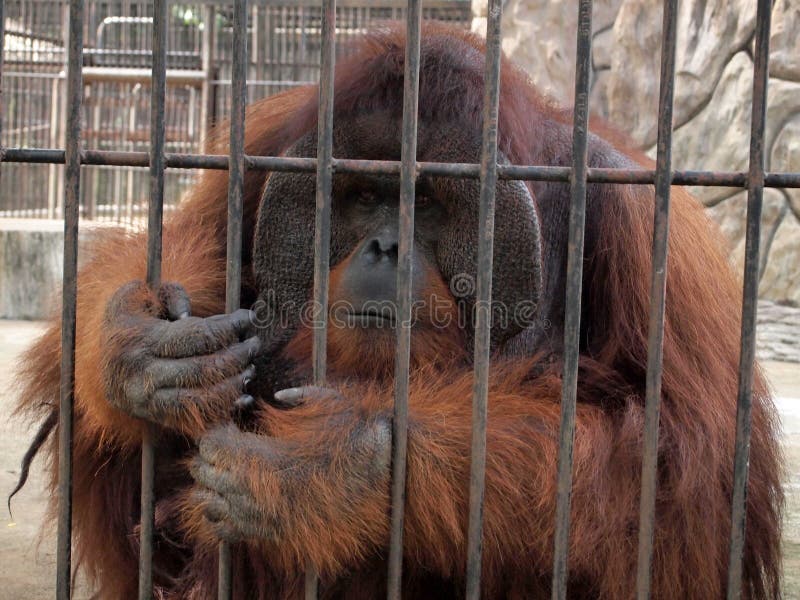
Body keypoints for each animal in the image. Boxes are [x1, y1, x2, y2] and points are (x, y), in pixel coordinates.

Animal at [13, 22, 782, 599]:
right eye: (361, 196)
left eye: (431, 205)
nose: (386, 245)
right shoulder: (261, 147)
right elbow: (152, 277)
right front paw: (137, 344)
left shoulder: (639, 223)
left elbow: (687, 469)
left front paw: (338, 466)